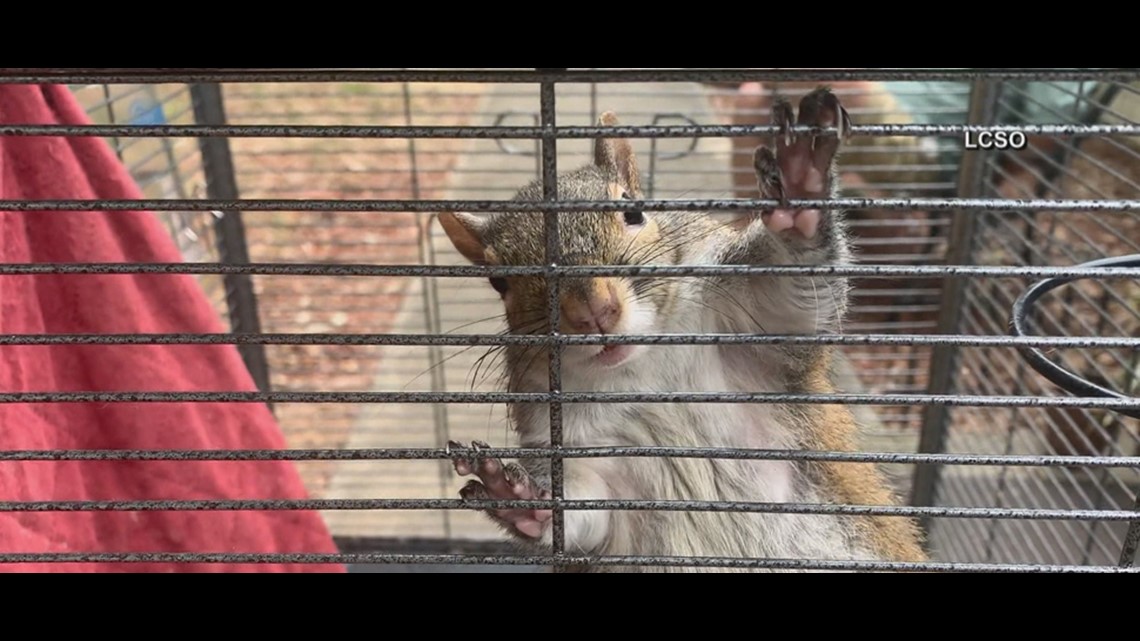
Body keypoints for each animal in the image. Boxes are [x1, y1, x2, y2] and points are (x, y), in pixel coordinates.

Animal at [438, 88, 927, 572]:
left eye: (634, 211)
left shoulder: (757, 332)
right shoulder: (583, 454)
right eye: (499, 281)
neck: (640, 372)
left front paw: (799, 187)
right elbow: (583, 505)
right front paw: (518, 494)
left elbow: (787, 302)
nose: (592, 311)